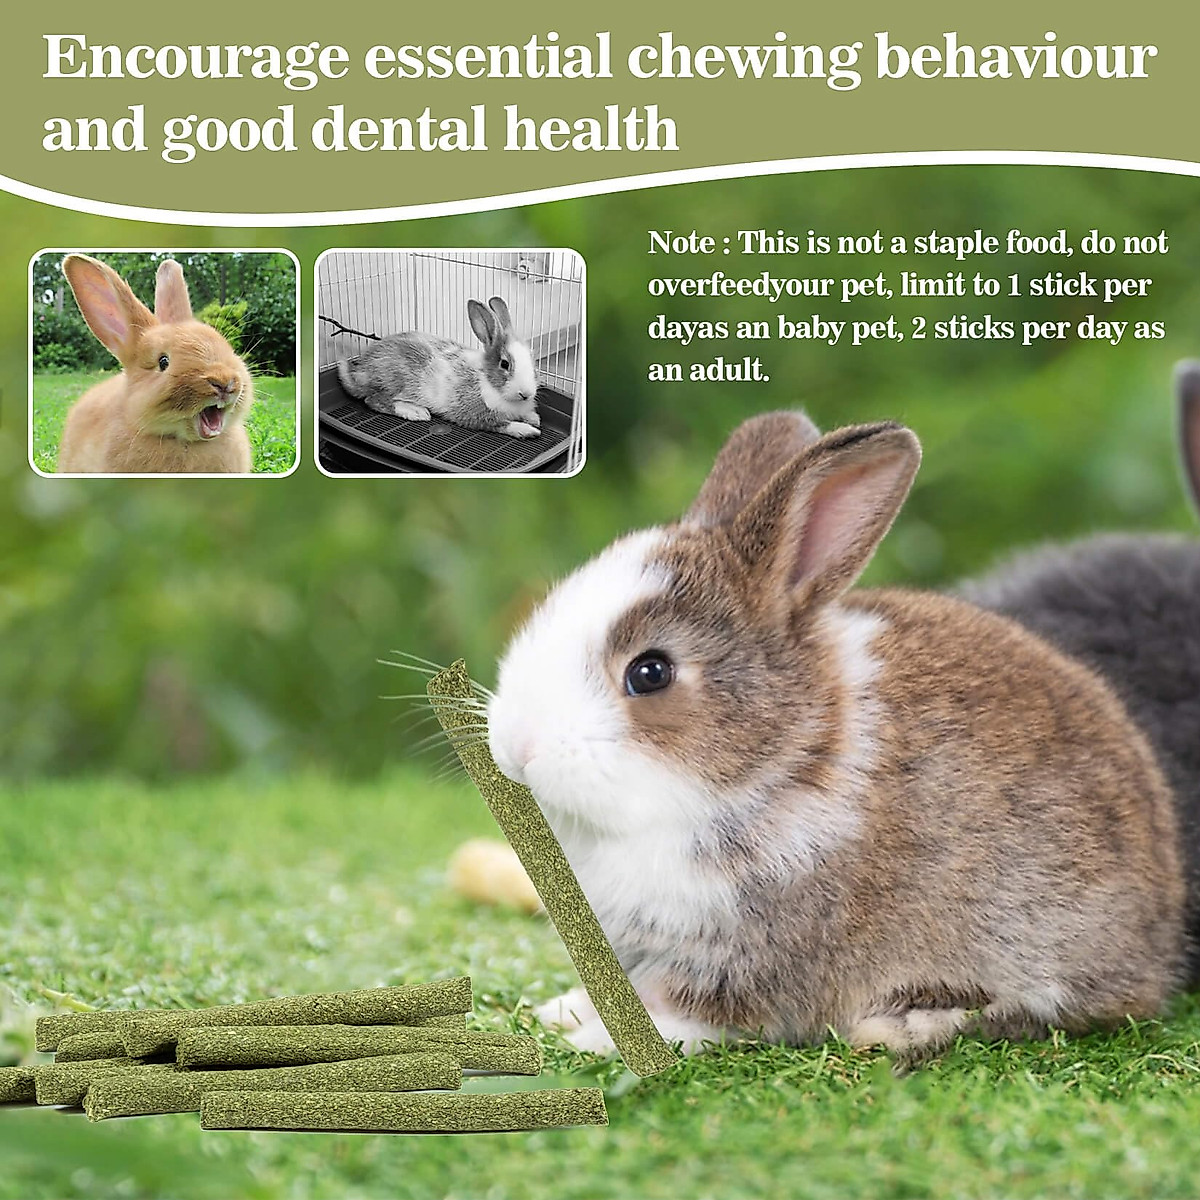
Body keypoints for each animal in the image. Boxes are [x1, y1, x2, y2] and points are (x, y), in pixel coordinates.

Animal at [335, 296, 541, 439]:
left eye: (532, 359)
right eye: (505, 364)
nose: (526, 394)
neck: (489, 382)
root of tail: (359, 372)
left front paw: (534, 419)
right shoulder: (475, 415)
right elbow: (502, 424)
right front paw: (528, 430)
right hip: (394, 382)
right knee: (373, 400)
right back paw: (415, 412)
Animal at [485, 412, 1187, 1058]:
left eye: (650, 672)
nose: (516, 745)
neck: (780, 759)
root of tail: (1158, 938)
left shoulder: (750, 955)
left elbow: (693, 1011)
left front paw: (598, 1039)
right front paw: (563, 1010)